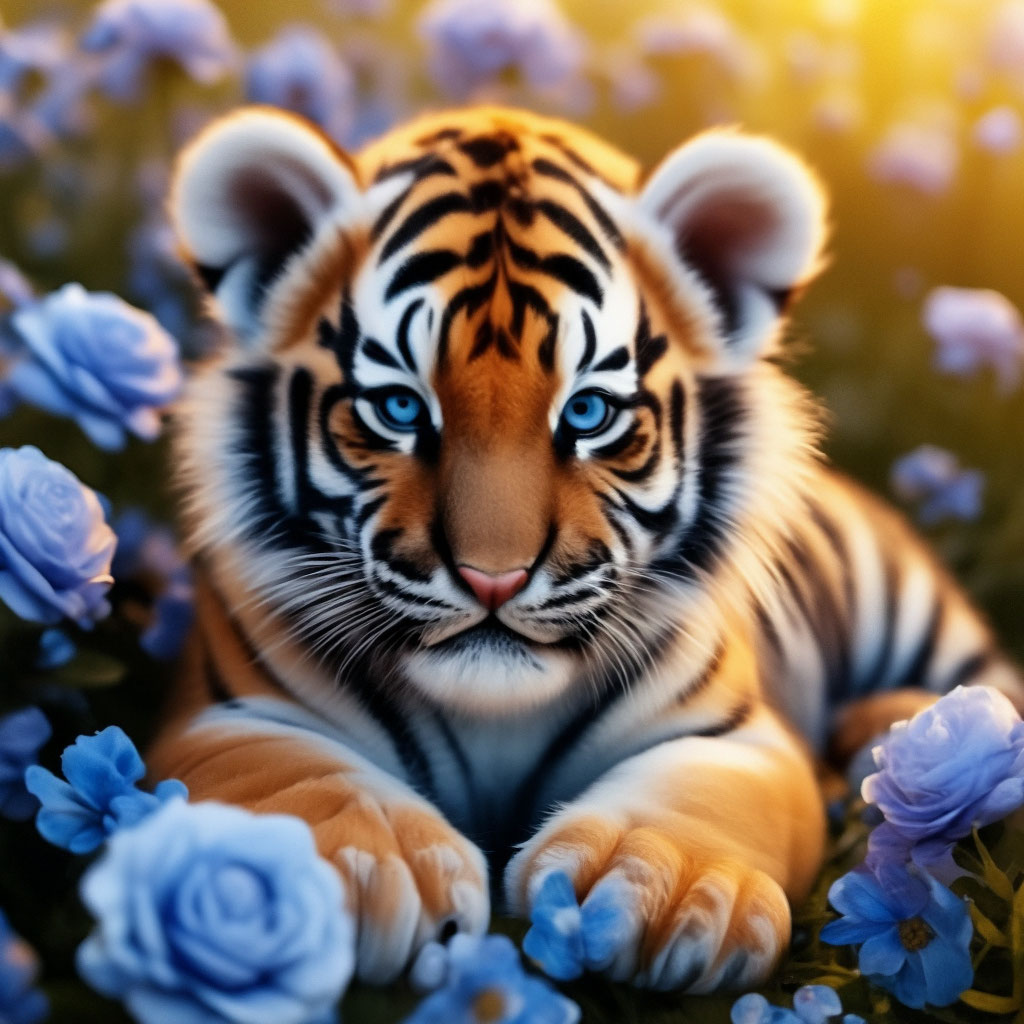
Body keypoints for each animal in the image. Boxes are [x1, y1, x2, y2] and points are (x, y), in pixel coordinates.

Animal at [148, 104, 1024, 994]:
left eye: (588, 413)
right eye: (398, 408)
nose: (492, 579)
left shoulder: (739, 736)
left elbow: (697, 796)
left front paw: (652, 892)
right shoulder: (230, 715)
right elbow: (300, 781)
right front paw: (363, 871)